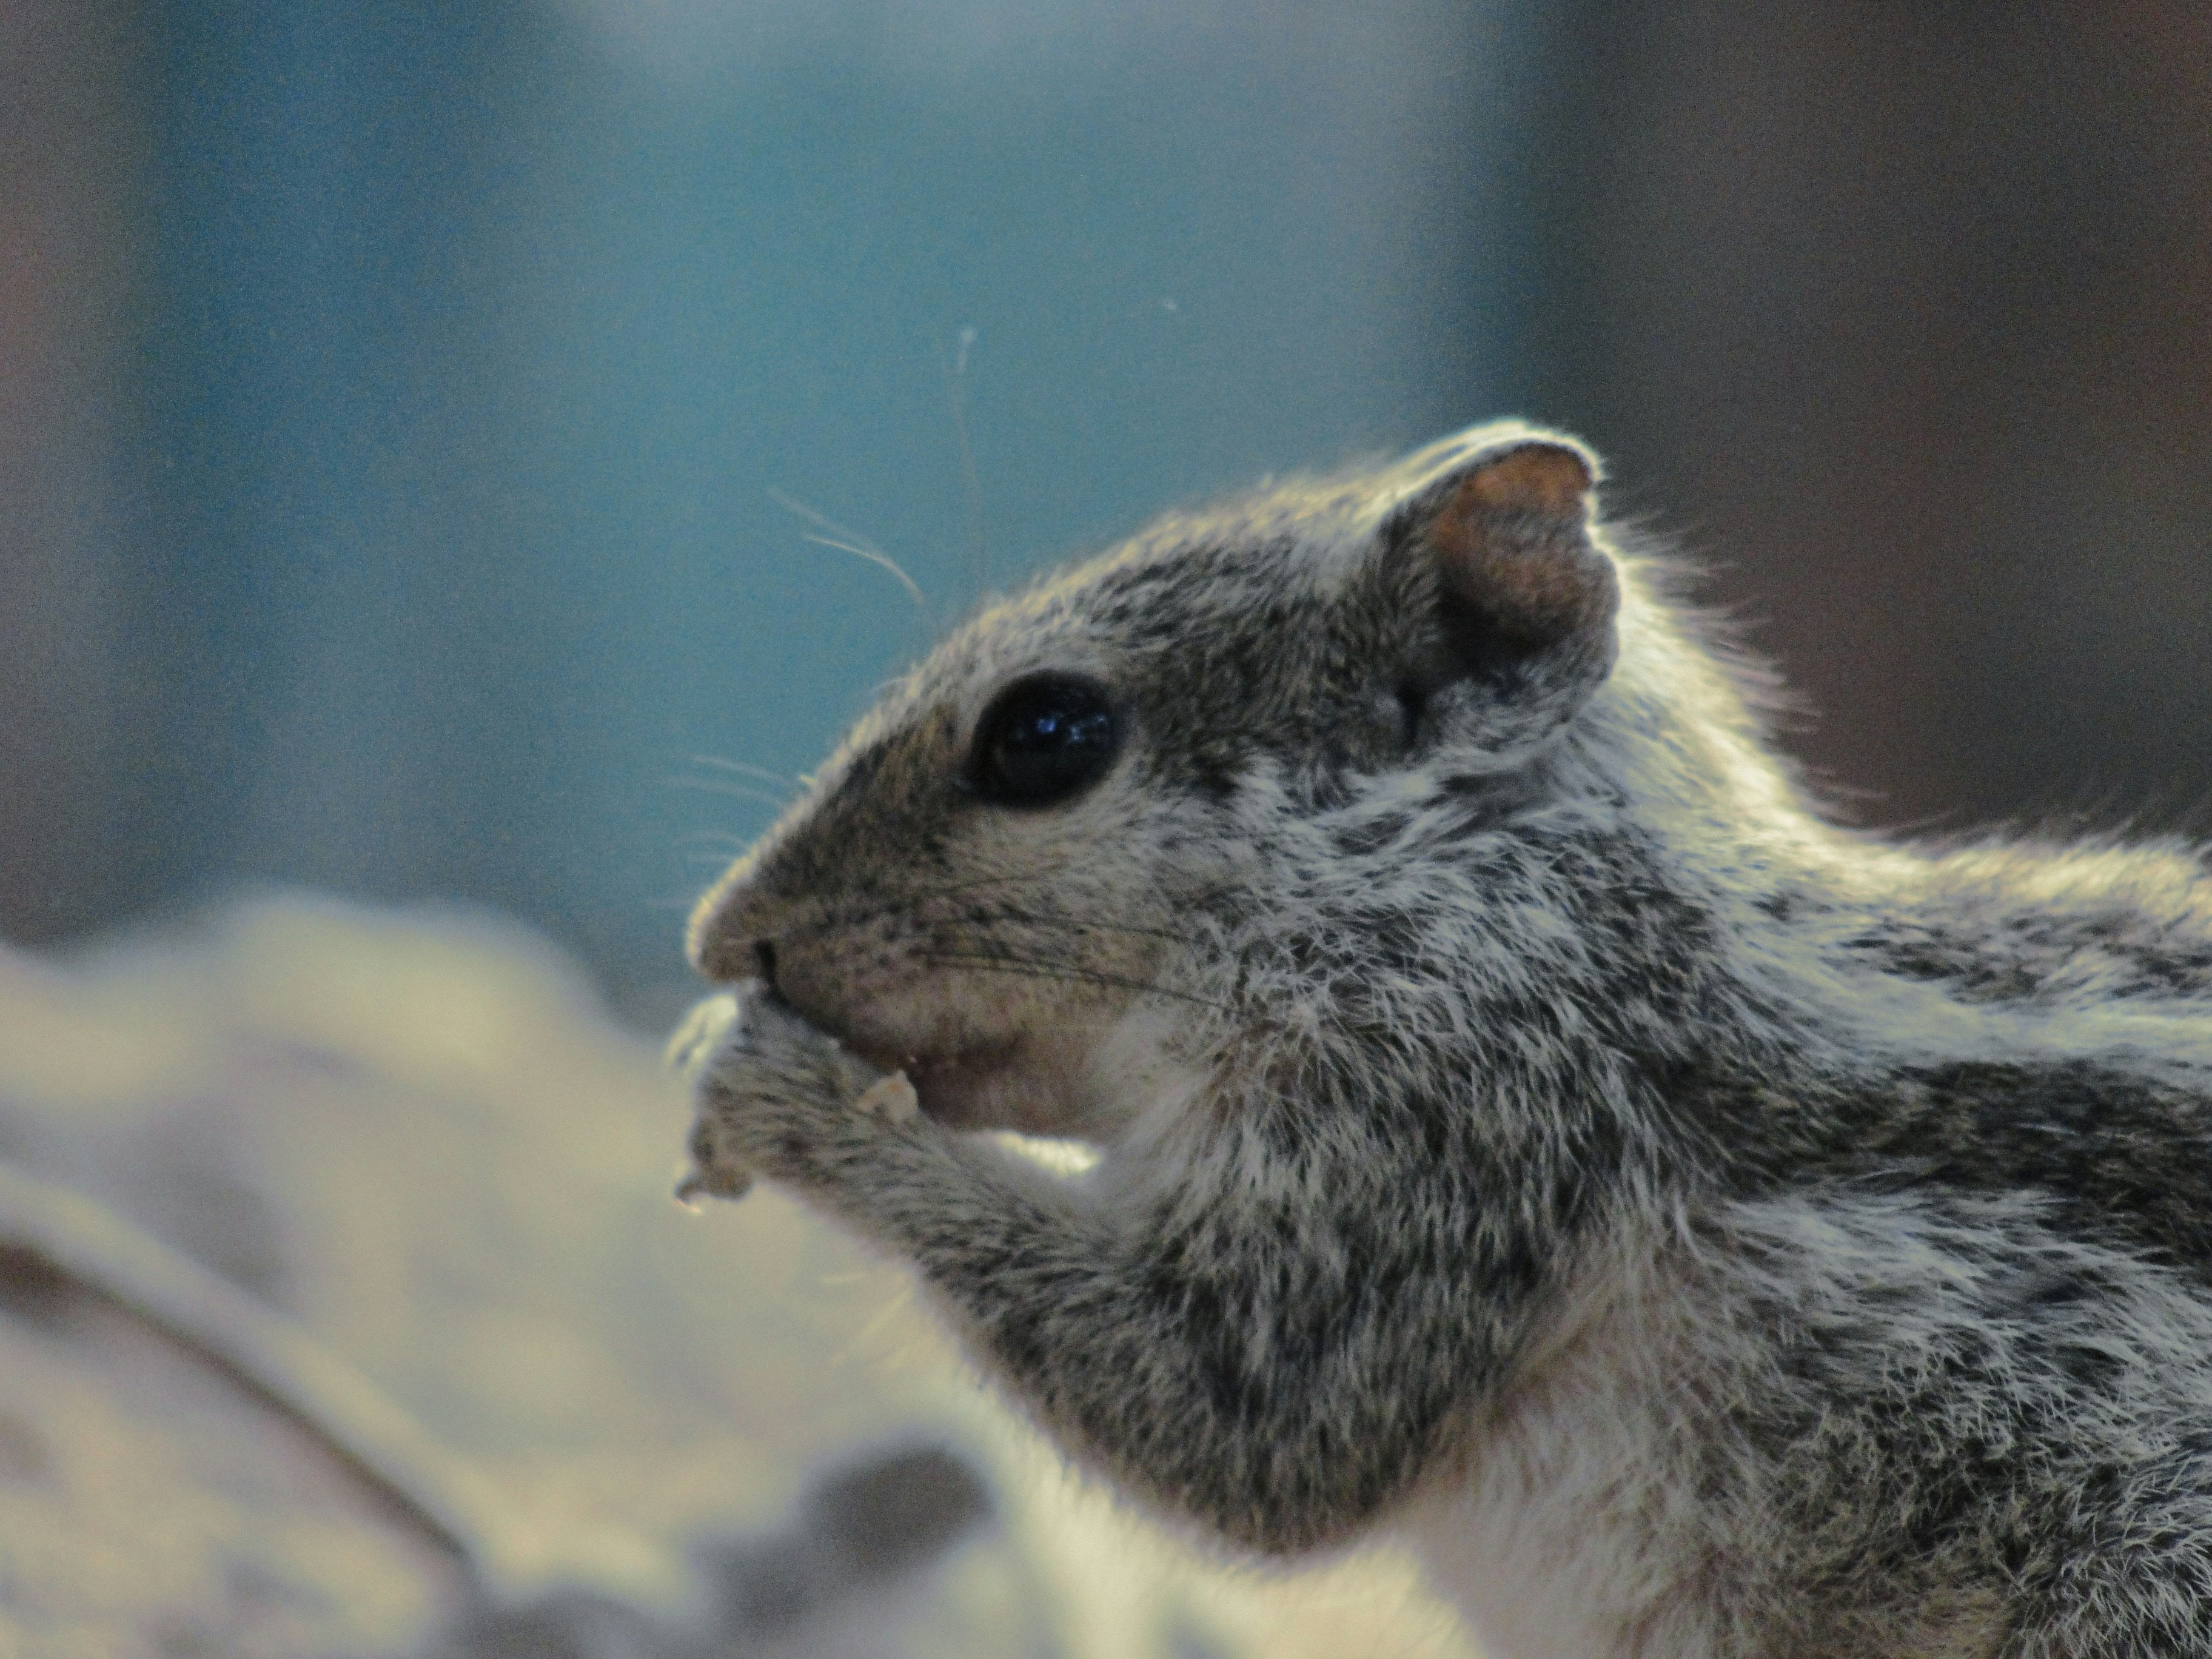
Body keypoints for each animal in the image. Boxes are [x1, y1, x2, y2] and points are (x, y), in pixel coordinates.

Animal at [676, 422, 2212, 1658]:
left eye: (1045, 733)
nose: (723, 936)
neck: (1460, 884)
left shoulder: (1453, 1106)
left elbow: (1241, 1417)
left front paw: (777, 1087)